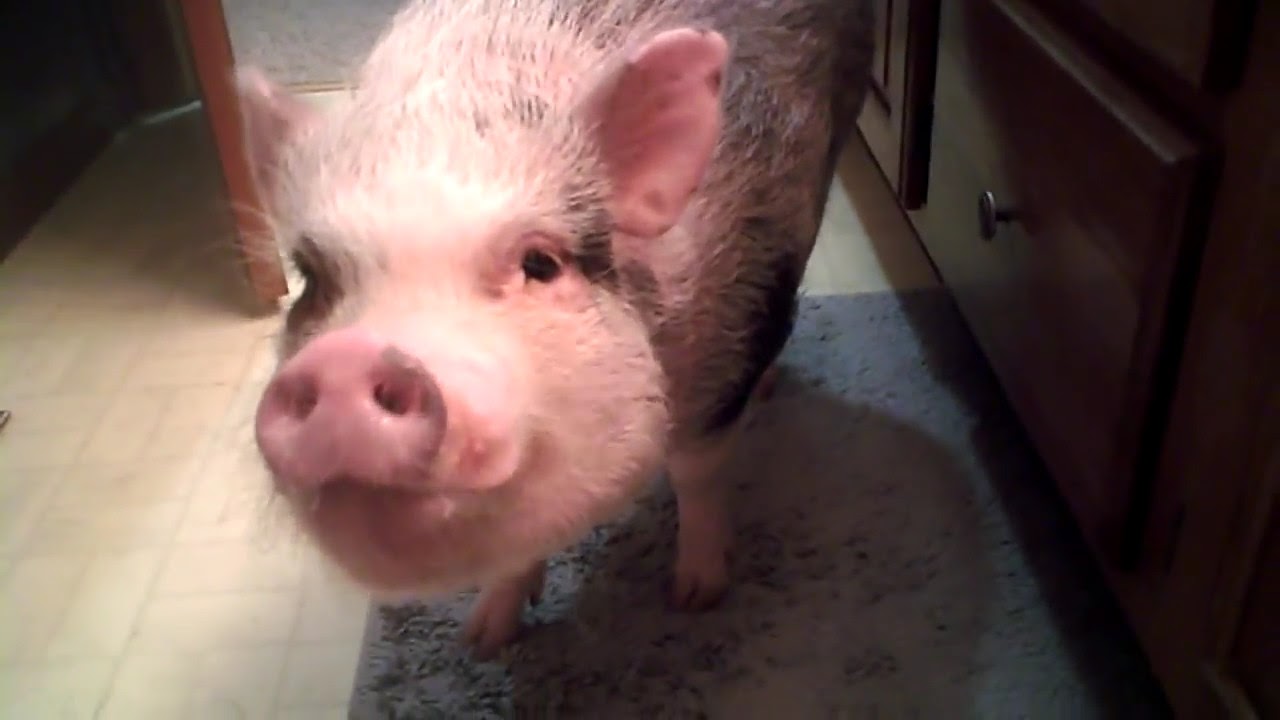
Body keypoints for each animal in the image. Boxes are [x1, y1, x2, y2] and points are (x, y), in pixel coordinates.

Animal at [240, 0, 875, 657]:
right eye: (312, 278)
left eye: (540, 263)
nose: (346, 356)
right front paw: (483, 638)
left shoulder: (728, 339)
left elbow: (696, 472)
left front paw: (696, 596)